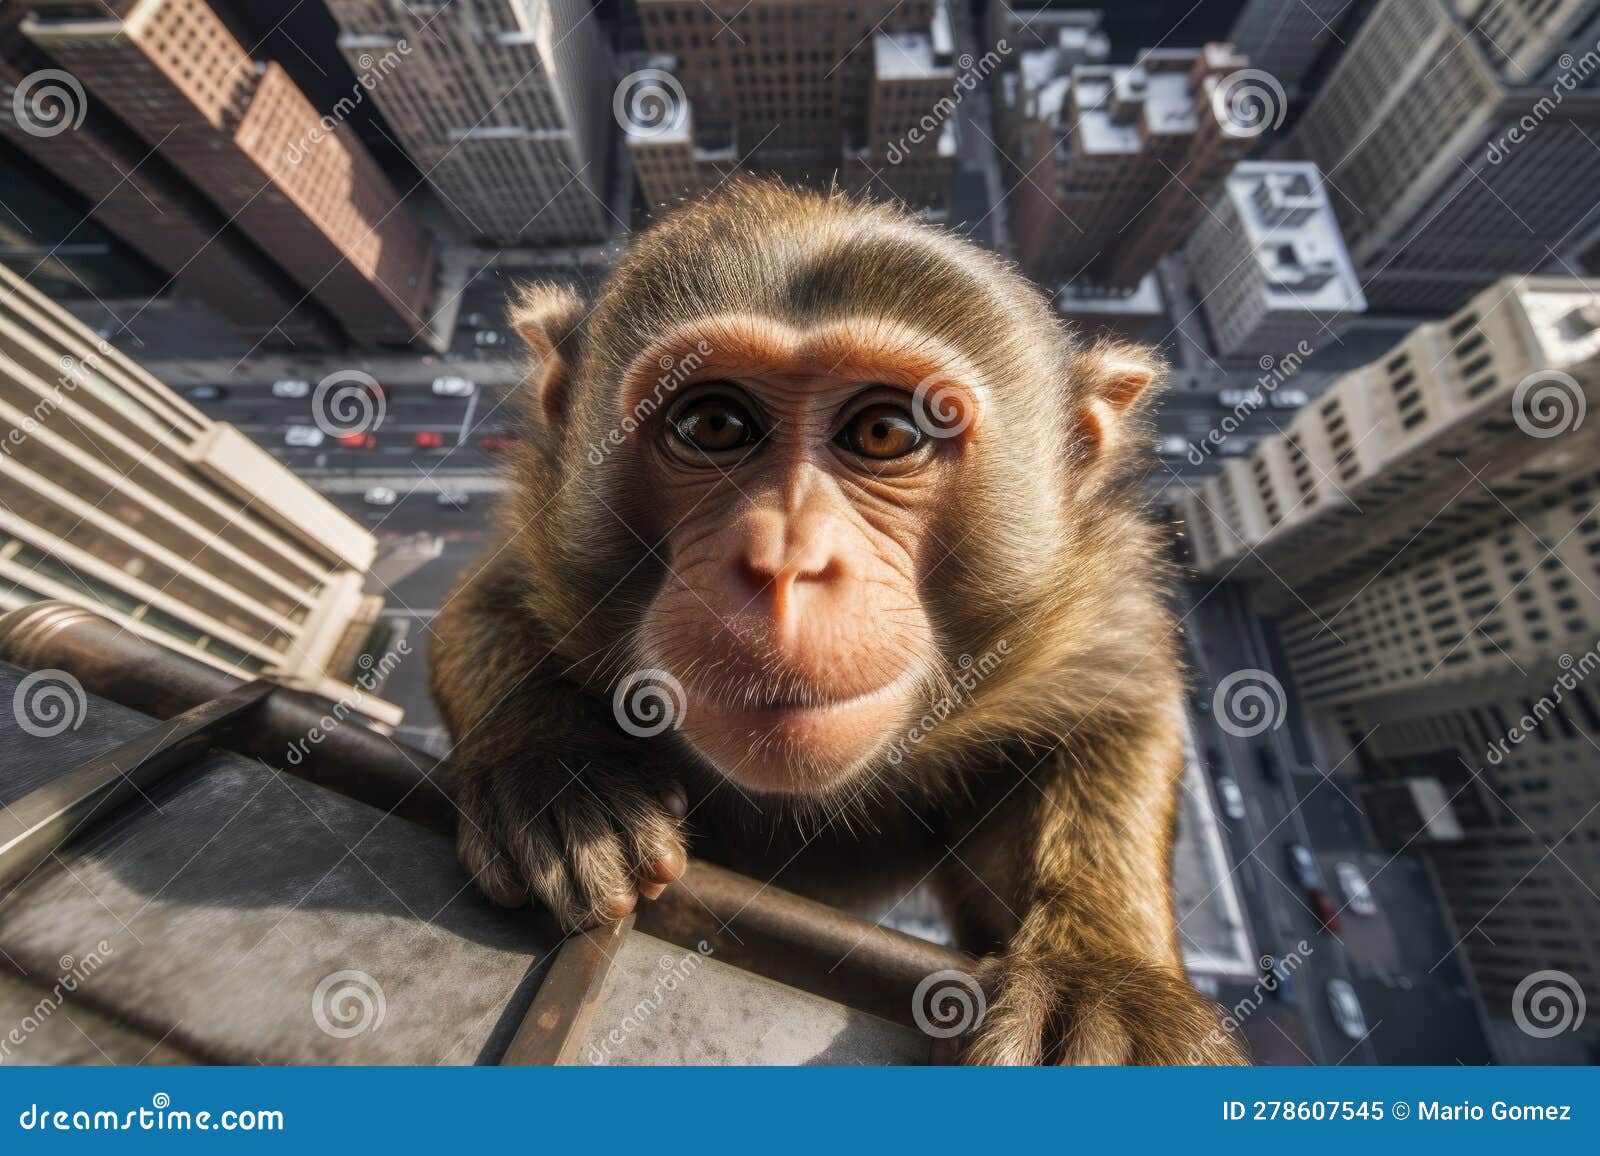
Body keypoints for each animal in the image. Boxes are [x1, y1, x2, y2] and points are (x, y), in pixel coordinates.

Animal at [429, 179, 1246, 1066]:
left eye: (886, 432)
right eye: (714, 424)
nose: (787, 561)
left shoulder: (1084, 617)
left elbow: (1118, 709)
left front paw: (1104, 976)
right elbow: (484, 604)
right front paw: (553, 763)